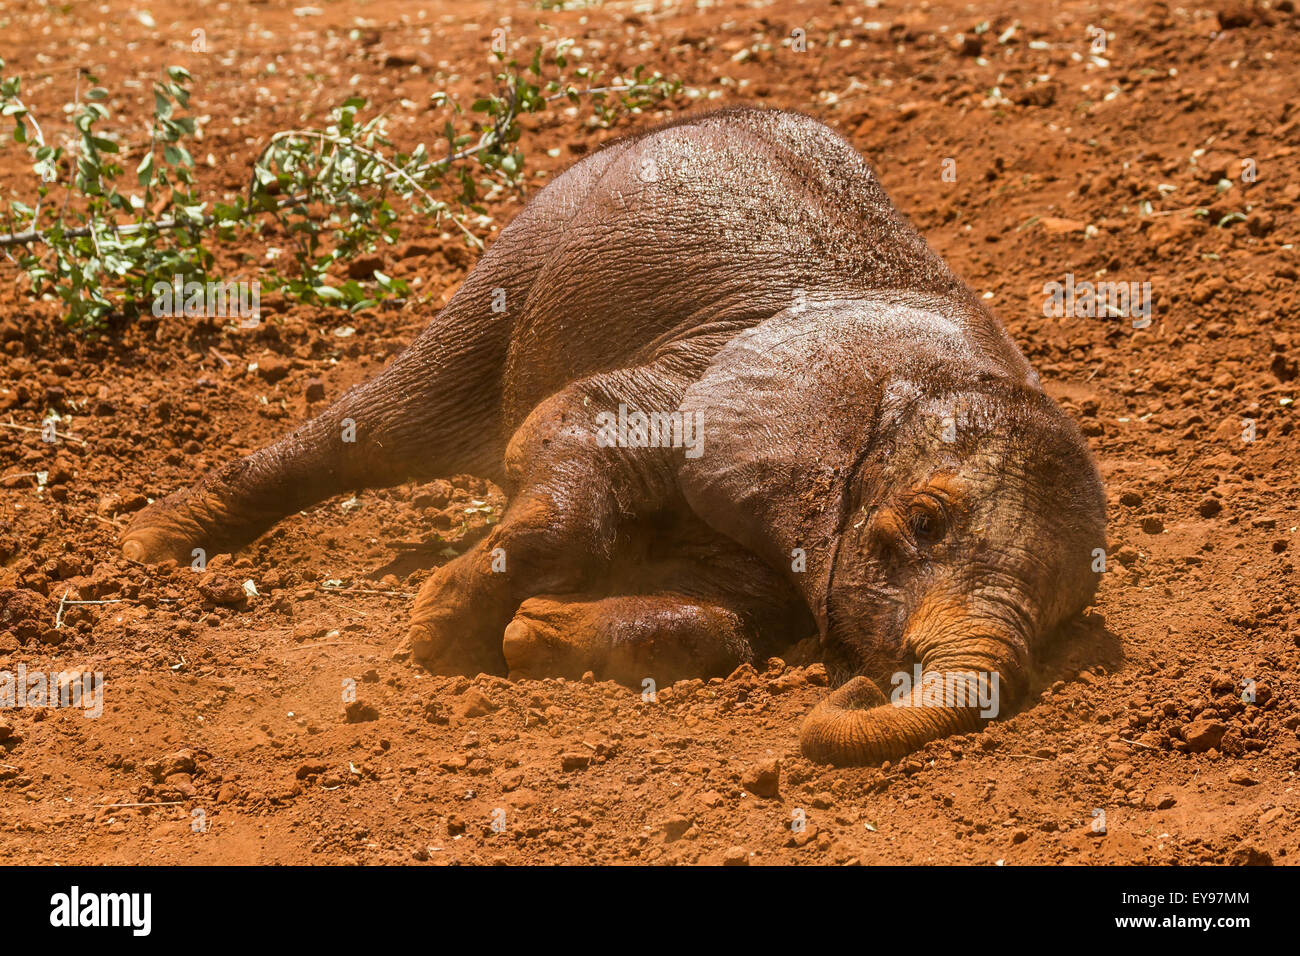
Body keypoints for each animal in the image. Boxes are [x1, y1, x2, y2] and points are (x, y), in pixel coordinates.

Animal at [120, 107, 1107, 766]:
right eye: (925, 522)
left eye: (1067, 617)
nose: (871, 680)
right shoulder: (703, 386)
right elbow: (575, 424)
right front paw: (439, 636)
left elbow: (733, 614)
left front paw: (537, 633)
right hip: (524, 255)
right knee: (394, 424)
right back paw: (149, 546)